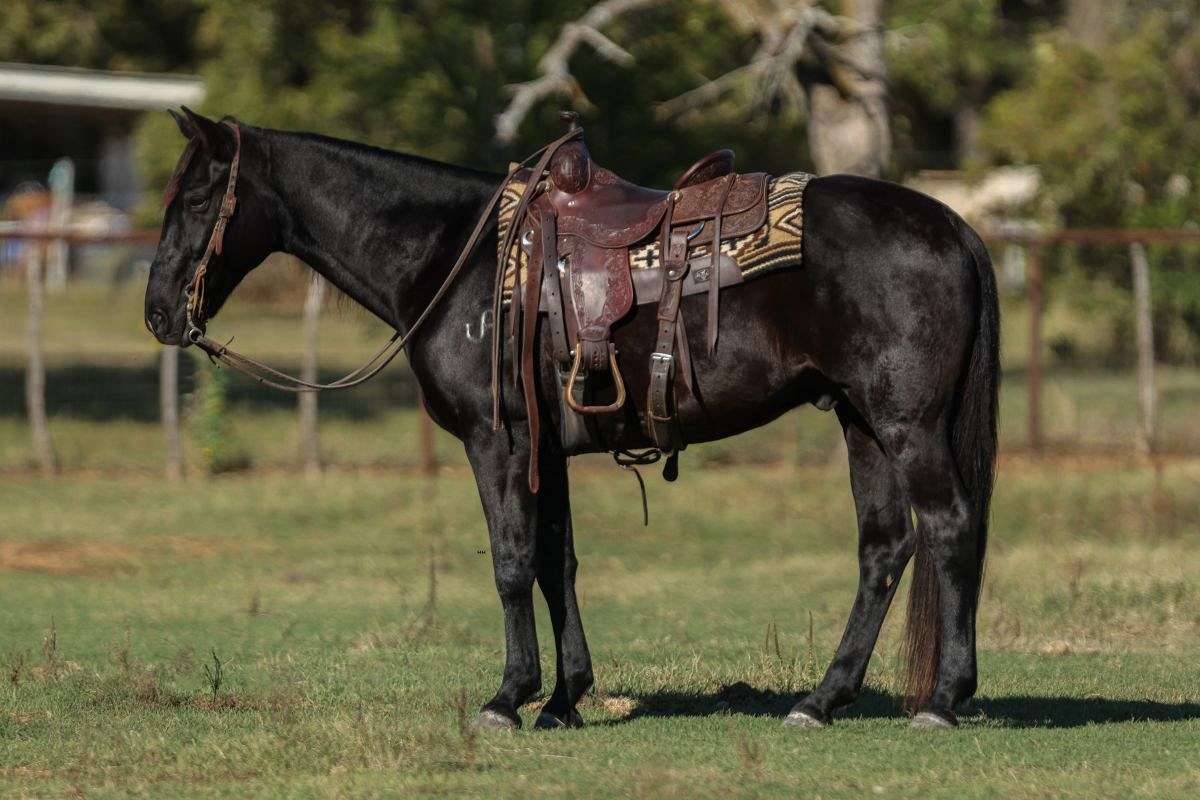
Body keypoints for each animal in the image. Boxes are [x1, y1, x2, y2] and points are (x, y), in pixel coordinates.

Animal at [144, 108, 998, 732]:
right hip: (861, 422)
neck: (456, 260)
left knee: (949, 527)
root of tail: (953, 226)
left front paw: (507, 698)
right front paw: (562, 699)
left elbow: (512, 561)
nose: (157, 312)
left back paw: (942, 701)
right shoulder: (544, 450)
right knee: (884, 547)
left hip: (906, 424)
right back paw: (821, 700)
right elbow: (558, 563)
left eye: (197, 199)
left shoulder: (497, 442)